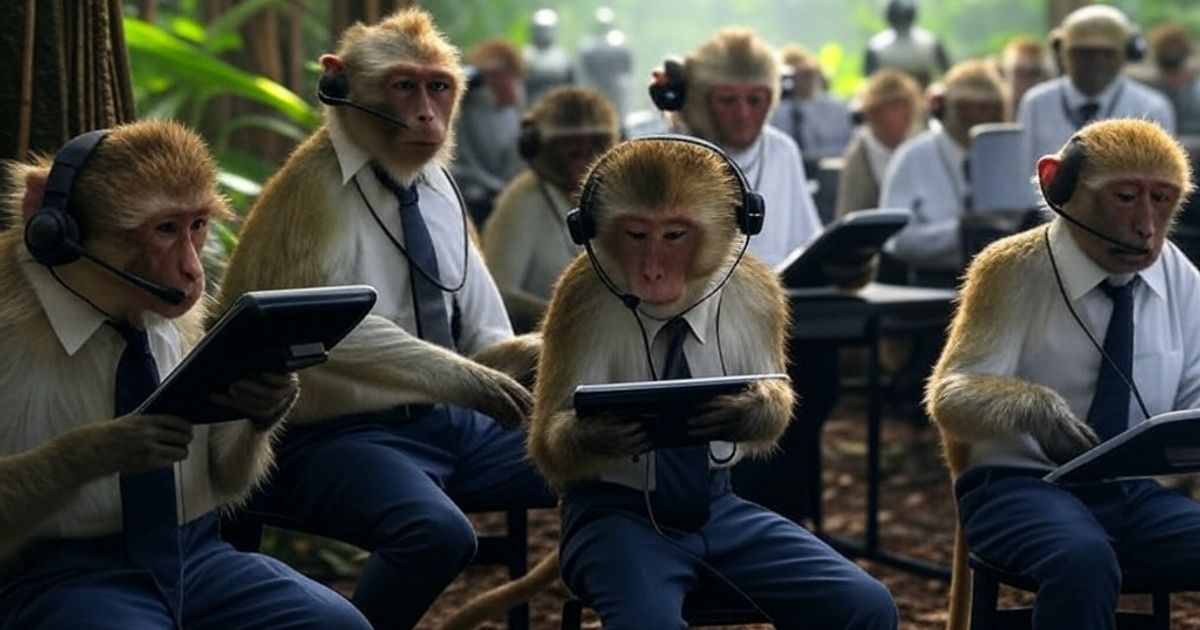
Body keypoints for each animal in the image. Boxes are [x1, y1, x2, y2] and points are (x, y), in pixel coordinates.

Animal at [0, 120, 369, 628]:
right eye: (165, 228)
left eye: (196, 225)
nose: (195, 272)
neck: (109, 316)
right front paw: (105, 445)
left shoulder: (193, 323)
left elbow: (220, 474)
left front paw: (268, 396)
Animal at [214, 9, 556, 628]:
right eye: (403, 85)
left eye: (437, 86)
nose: (427, 116)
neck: (393, 180)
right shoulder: (318, 196)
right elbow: (327, 320)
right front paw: (476, 381)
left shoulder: (451, 205)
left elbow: (481, 334)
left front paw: (539, 352)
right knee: (432, 535)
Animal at [443, 137, 898, 629]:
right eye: (637, 234)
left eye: (675, 235)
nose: (653, 274)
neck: (673, 312)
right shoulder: (579, 299)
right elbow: (545, 440)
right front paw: (602, 431)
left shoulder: (759, 294)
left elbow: (775, 393)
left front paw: (749, 408)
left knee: (865, 602)